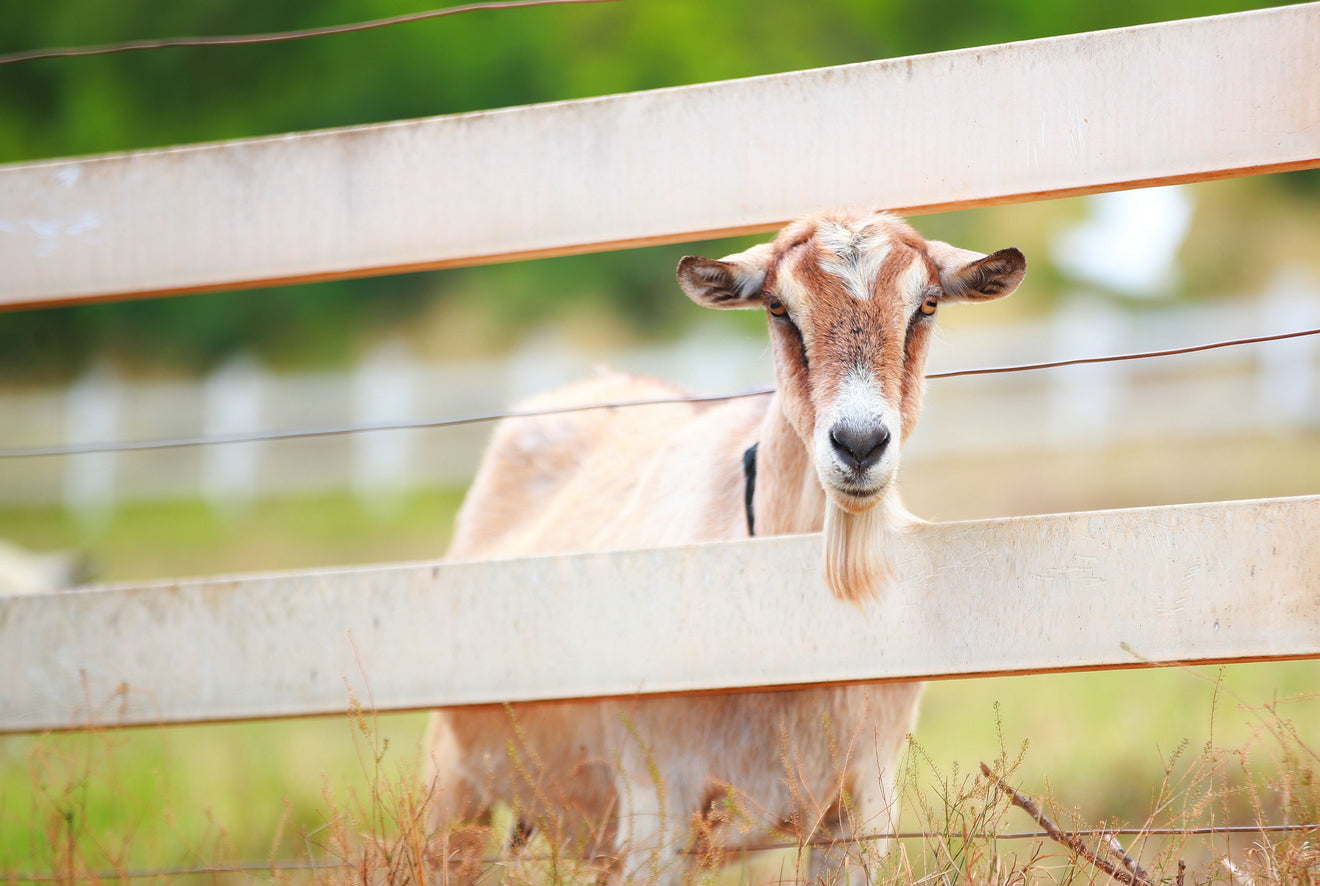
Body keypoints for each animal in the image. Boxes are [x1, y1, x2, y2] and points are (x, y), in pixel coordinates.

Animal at [424, 211, 1025, 884]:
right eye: (779, 307)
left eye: (926, 305)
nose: (859, 444)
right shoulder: (655, 808)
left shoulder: (863, 813)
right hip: (455, 785)